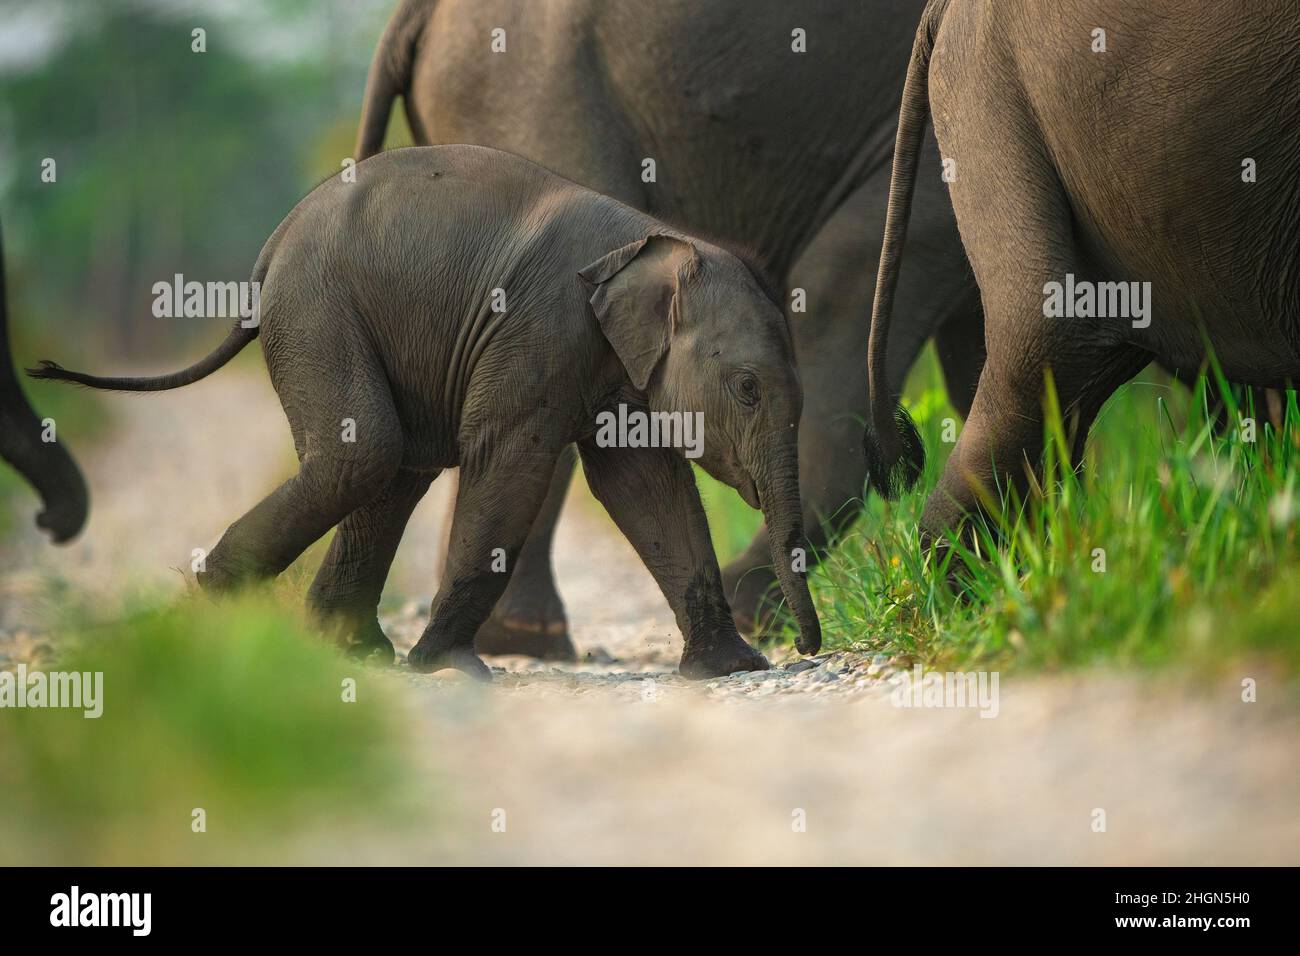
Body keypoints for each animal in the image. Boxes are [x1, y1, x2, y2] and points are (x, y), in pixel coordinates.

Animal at [32, 144, 819, 680]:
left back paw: (351, 650)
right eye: (747, 389)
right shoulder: (537, 331)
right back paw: (218, 610)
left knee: (394, 470)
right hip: (318, 312)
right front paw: (447, 667)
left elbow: (645, 486)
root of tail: (271, 249)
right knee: (365, 454)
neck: (656, 239)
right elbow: (509, 462)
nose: (805, 649)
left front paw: (730, 669)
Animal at [354, 0, 982, 656]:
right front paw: (750, 613)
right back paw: (526, 640)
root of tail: (412, 16)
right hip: (531, 93)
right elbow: (848, 276)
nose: (809, 648)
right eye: (746, 390)